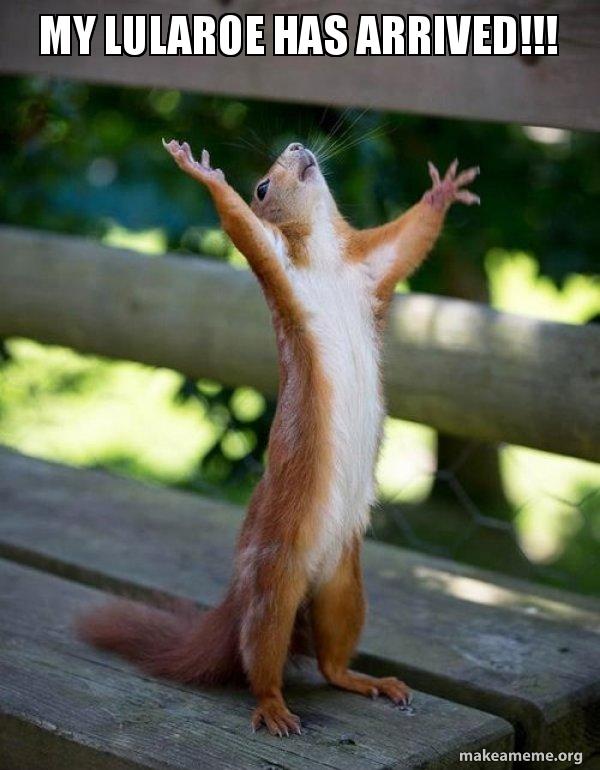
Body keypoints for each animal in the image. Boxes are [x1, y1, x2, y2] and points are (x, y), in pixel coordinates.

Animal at [79, 138, 479, 737]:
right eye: (262, 186)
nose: (296, 146)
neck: (327, 258)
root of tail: (239, 596)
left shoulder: (371, 267)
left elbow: (408, 241)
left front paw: (443, 191)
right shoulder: (277, 265)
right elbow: (241, 227)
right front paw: (204, 174)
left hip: (344, 586)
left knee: (332, 660)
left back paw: (368, 681)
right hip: (274, 583)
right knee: (261, 657)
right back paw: (273, 707)